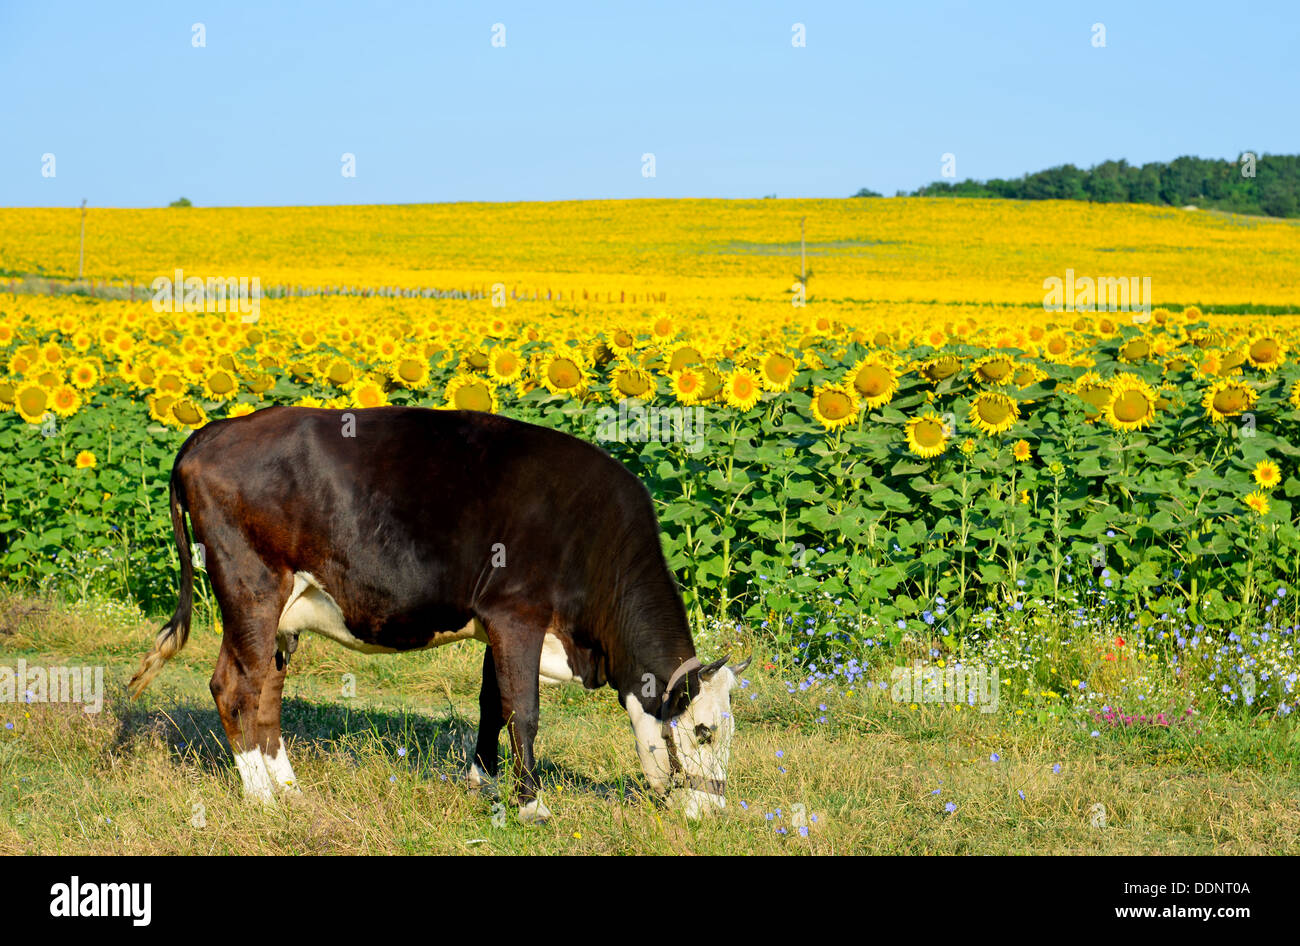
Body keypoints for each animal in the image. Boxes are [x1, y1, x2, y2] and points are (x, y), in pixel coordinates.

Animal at [127, 405, 748, 821]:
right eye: (703, 732)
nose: (714, 812)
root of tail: (212, 431)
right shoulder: (516, 615)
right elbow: (524, 712)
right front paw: (532, 805)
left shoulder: (497, 625)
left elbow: (492, 705)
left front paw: (483, 784)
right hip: (250, 588)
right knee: (235, 687)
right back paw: (262, 799)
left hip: (283, 612)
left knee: (266, 693)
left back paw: (289, 789)